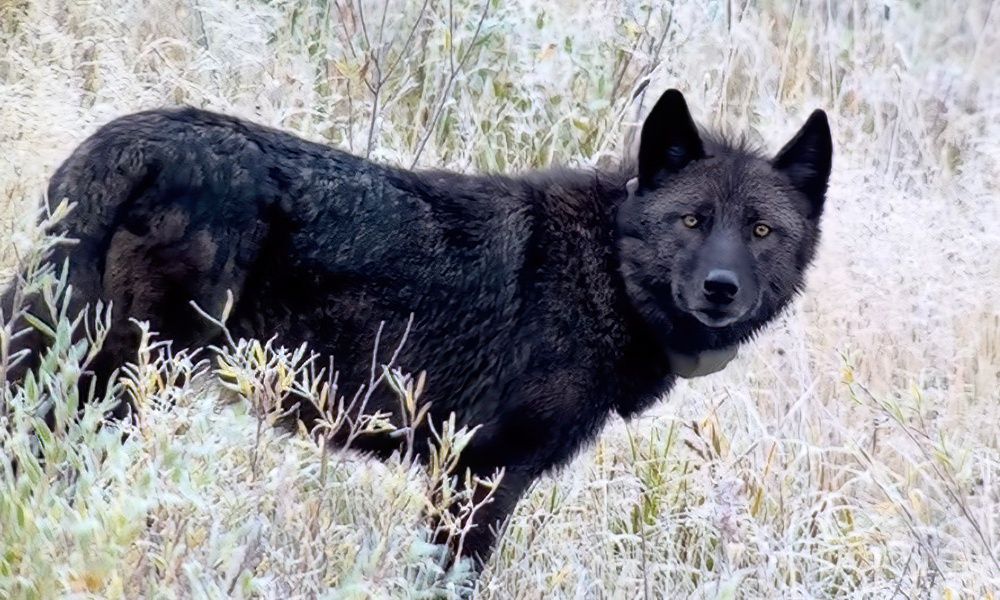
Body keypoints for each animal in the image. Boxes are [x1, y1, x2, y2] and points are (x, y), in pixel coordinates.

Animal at [1, 89, 831, 566]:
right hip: (125, 391)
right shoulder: (477, 479)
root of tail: (129, 141)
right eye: (692, 221)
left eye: (761, 231)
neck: (605, 272)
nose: (721, 289)